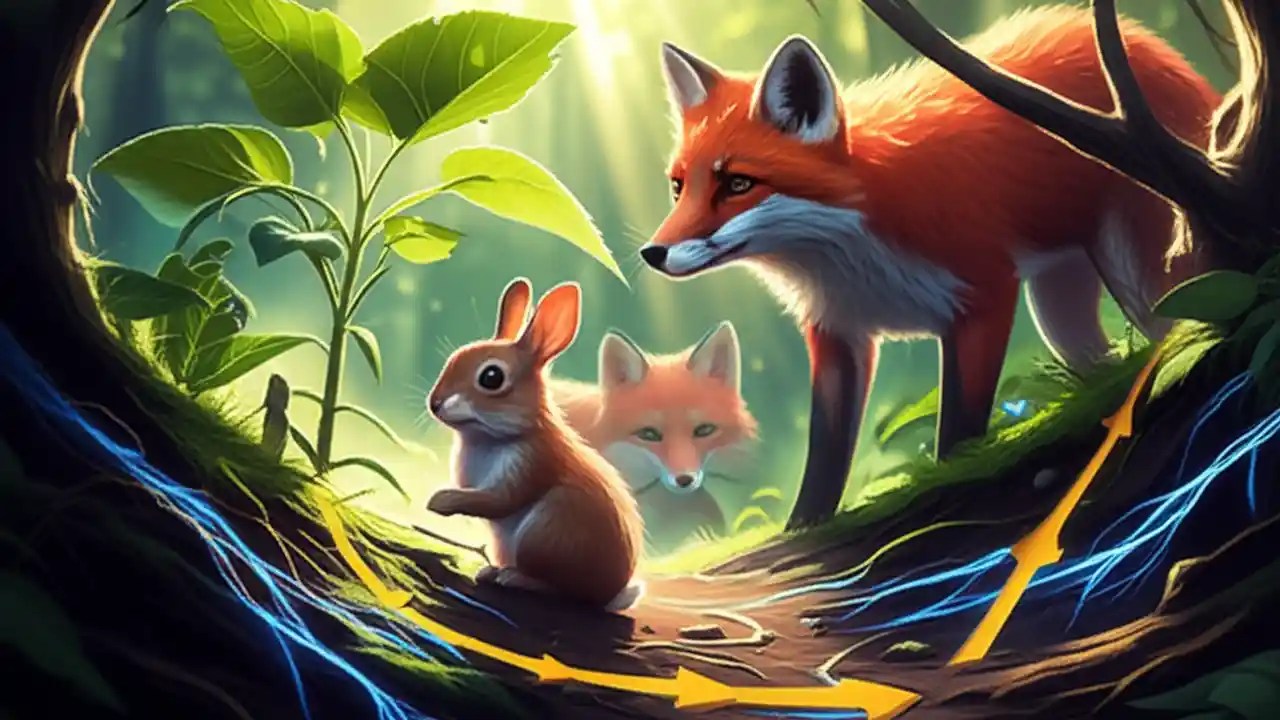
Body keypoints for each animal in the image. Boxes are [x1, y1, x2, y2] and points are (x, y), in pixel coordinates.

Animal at [425, 277, 646, 611]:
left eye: (492, 377)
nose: (434, 403)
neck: (498, 435)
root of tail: (609, 596)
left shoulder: (530, 463)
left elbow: (496, 501)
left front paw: (440, 501)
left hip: (545, 531)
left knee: (562, 591)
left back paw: (515, 578)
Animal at [639, 5, 1220, 528]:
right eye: (678, 186)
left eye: (738, 184)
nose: (652, 253)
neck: (853, 250)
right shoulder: (837, 333)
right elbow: (824, 460)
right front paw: (801, 531)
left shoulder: (984, 295)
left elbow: (958, 433)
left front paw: (951, 486)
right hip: (1060, 312)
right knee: (1108, 363)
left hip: (1144, 278)